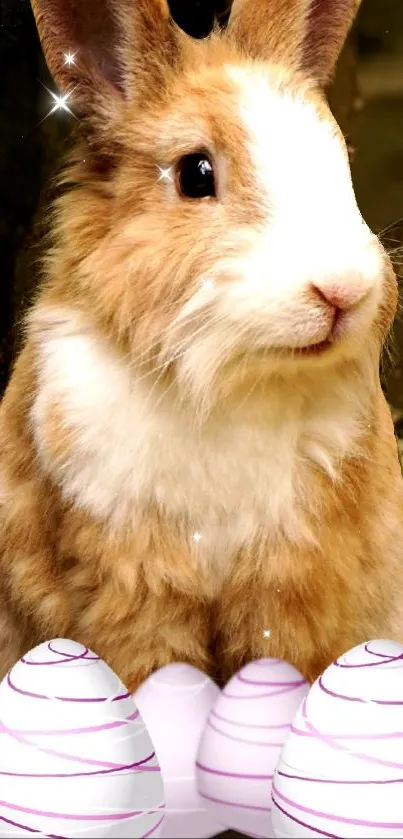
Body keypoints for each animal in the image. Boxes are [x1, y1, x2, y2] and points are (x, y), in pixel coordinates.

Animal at [0, 0, 403, 693]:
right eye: (196, 174)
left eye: (338, 155)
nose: (344, 291)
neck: (227, 383)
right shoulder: (130, 584)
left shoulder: (293, 584)